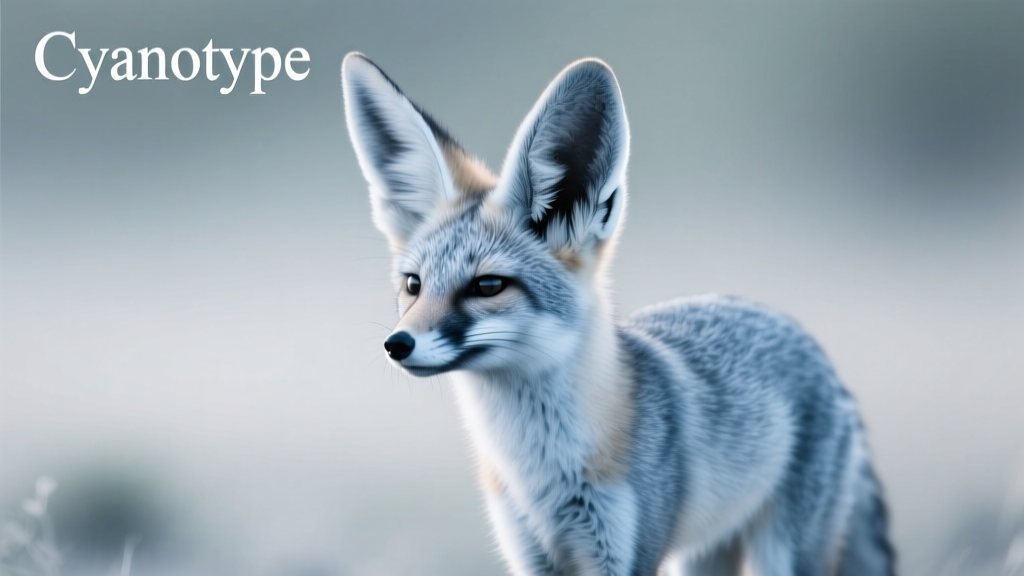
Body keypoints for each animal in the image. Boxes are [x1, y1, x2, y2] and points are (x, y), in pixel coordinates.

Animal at [340, 52, 896, 576]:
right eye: (414, 286)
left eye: (488, 286)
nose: (397, 344)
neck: (540, 471)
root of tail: (813, 347)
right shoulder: (530, 553)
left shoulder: (625, 551)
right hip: (700, 557)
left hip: (781, 554)